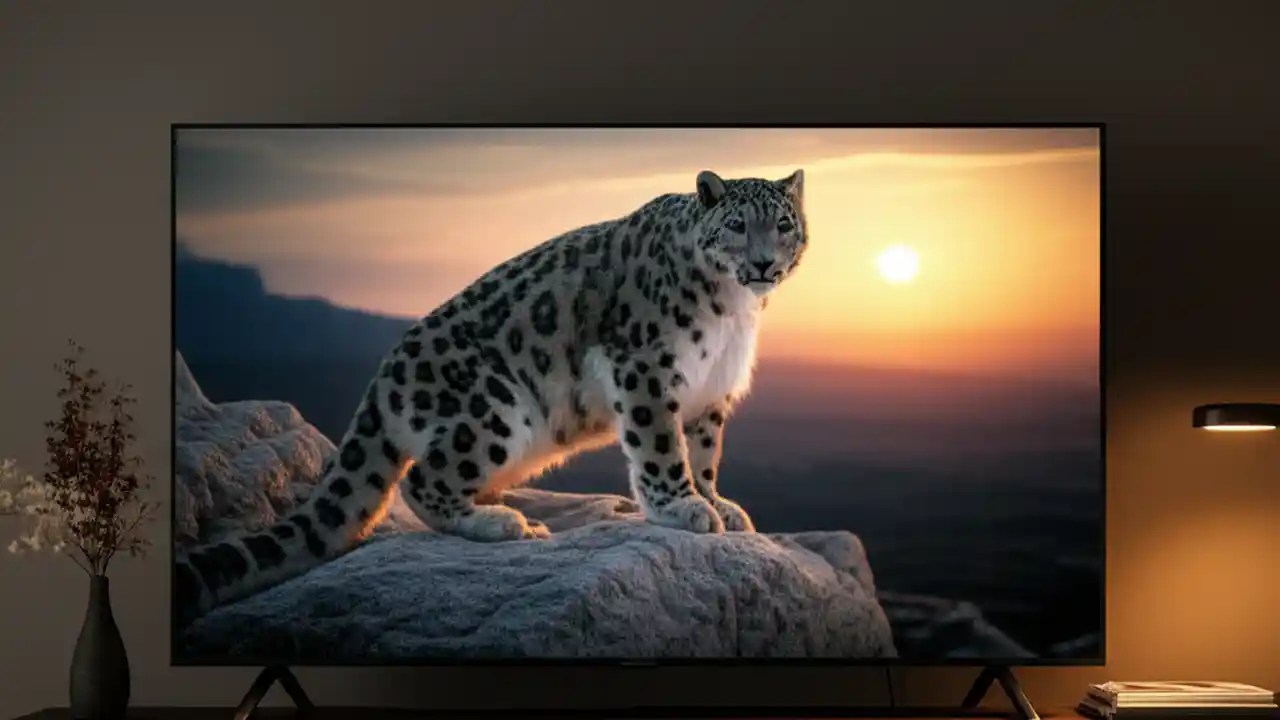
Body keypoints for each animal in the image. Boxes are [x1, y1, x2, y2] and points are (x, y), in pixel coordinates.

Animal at [175, 167, 809, 626]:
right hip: (496, 411)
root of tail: (383, 377)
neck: (731, 309)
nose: (762, 263)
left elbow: (704, 452)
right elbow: (659, 445)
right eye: (736, 225)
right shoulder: (645, 367)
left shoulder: (712, 387)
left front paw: (718, 501)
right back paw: (502, 524)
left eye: (783, 224)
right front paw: (682, 508)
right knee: (422, 479)